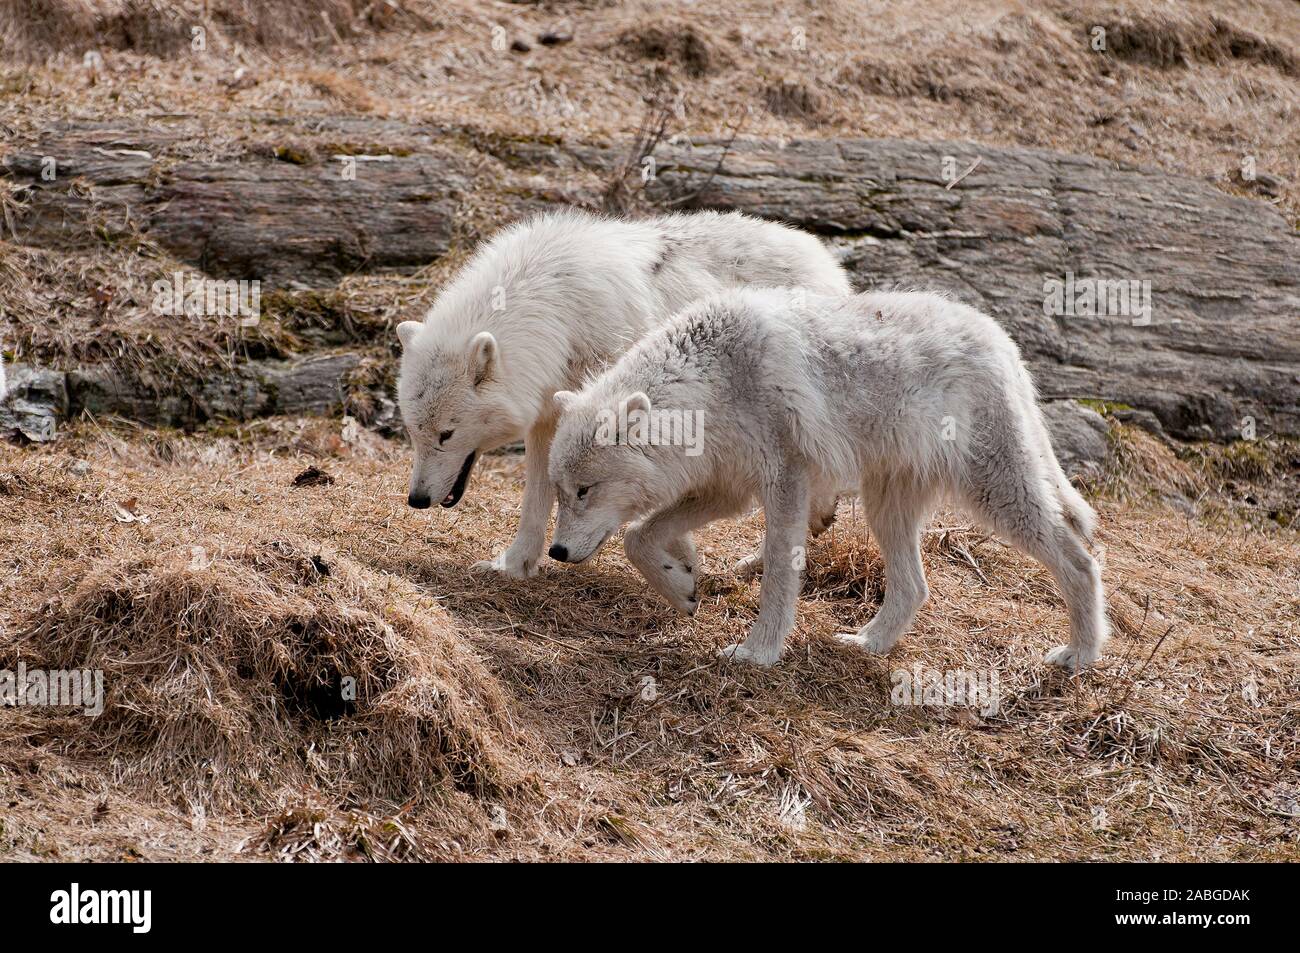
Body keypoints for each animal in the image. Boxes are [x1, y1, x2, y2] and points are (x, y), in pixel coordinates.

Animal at [395, 208, 850, 577]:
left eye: (446, 435)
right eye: (414, 434)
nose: (416, 499)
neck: (558, 312)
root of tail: (824, 258)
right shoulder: (549, 418)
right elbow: (536, 499)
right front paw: (515, 564)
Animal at [547, 288, 1108, 671]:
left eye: (584, 491)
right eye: (560, 492)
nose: (556, 552)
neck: (712, 384)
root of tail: (1003, 342)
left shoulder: (784, 482)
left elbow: (778, 573)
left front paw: (758, 651)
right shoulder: (728, 488)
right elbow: (638, 536)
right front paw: (680, 579)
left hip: (996, 495)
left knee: (1080, 561)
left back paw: (1079, 655)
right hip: (888, 508)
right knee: (915, 588)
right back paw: (868, 644)